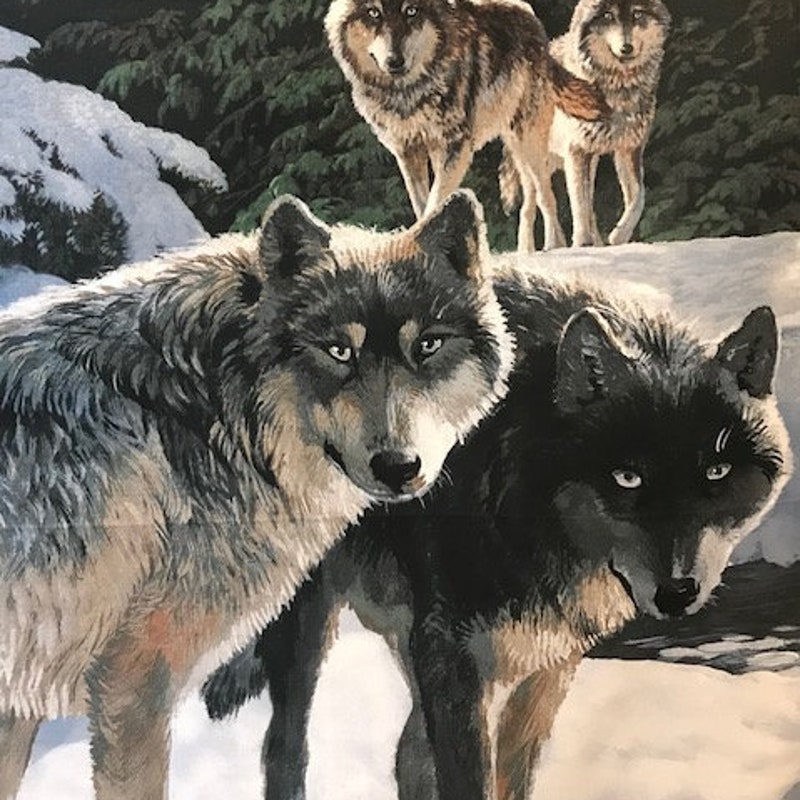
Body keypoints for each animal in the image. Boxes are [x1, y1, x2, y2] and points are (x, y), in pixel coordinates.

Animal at [0, 190, 513, 799]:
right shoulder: (134, 680)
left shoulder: (24, 698)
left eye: (428, 345)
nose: (398, 466)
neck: (209, 409)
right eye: (338, 351)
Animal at [204, 273, 791, 800]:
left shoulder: (549, 663)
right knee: (286, 747)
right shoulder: (454, 656)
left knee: (406, 755)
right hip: (312, 628)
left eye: (715, 473)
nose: (676, 592)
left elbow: (510, 777)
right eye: (627, 477)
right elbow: (469, 782)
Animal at [325, 0, 609, 252]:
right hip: (515, 149)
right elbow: (422, 204)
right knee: (531, 198)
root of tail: (534, 23)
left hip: (529, 143)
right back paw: (527, 251)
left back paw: (554, 245)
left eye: (411, 11)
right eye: (373, 13)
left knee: (545, 194)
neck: (409, 92)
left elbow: (435, 201)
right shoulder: (407, 151)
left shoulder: (454, 147)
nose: (395, 61)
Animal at [500, 0, 671, 247]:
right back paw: (544, 246)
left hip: (585, 160)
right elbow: (577, 207)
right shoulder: (577, 151)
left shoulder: (629, 150)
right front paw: (581, 243)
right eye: (608, 16)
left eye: (637, 14)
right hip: (534, 163)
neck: (619, 89)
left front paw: (618, 236)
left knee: (583, 203)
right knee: (538, 204)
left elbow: (638, 198)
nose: (626, 48)